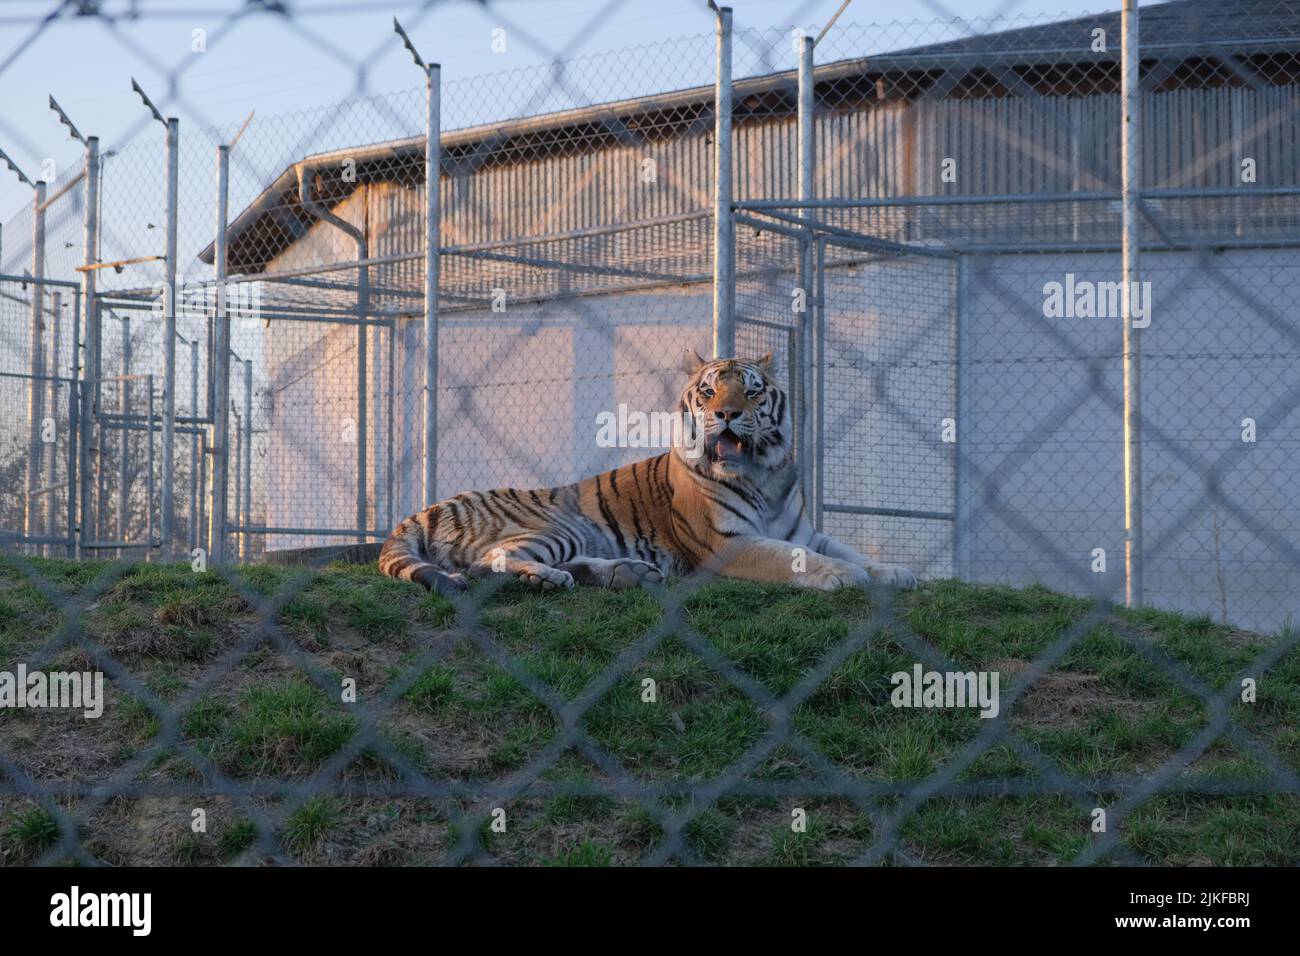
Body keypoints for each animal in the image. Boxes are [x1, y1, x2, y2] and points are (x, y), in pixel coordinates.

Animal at [378, 350, 916, 595]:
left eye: (752, 390)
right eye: (708, 392)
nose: (725, 414)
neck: (761, 473)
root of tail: (428, 509)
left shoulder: (806, 531)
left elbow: (846, 549)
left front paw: (893, 572)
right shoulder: (729, 543)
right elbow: (791, 560)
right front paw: (842, 576)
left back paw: (627, 572)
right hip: (558, 525)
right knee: (487, 562)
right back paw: (549, 578)